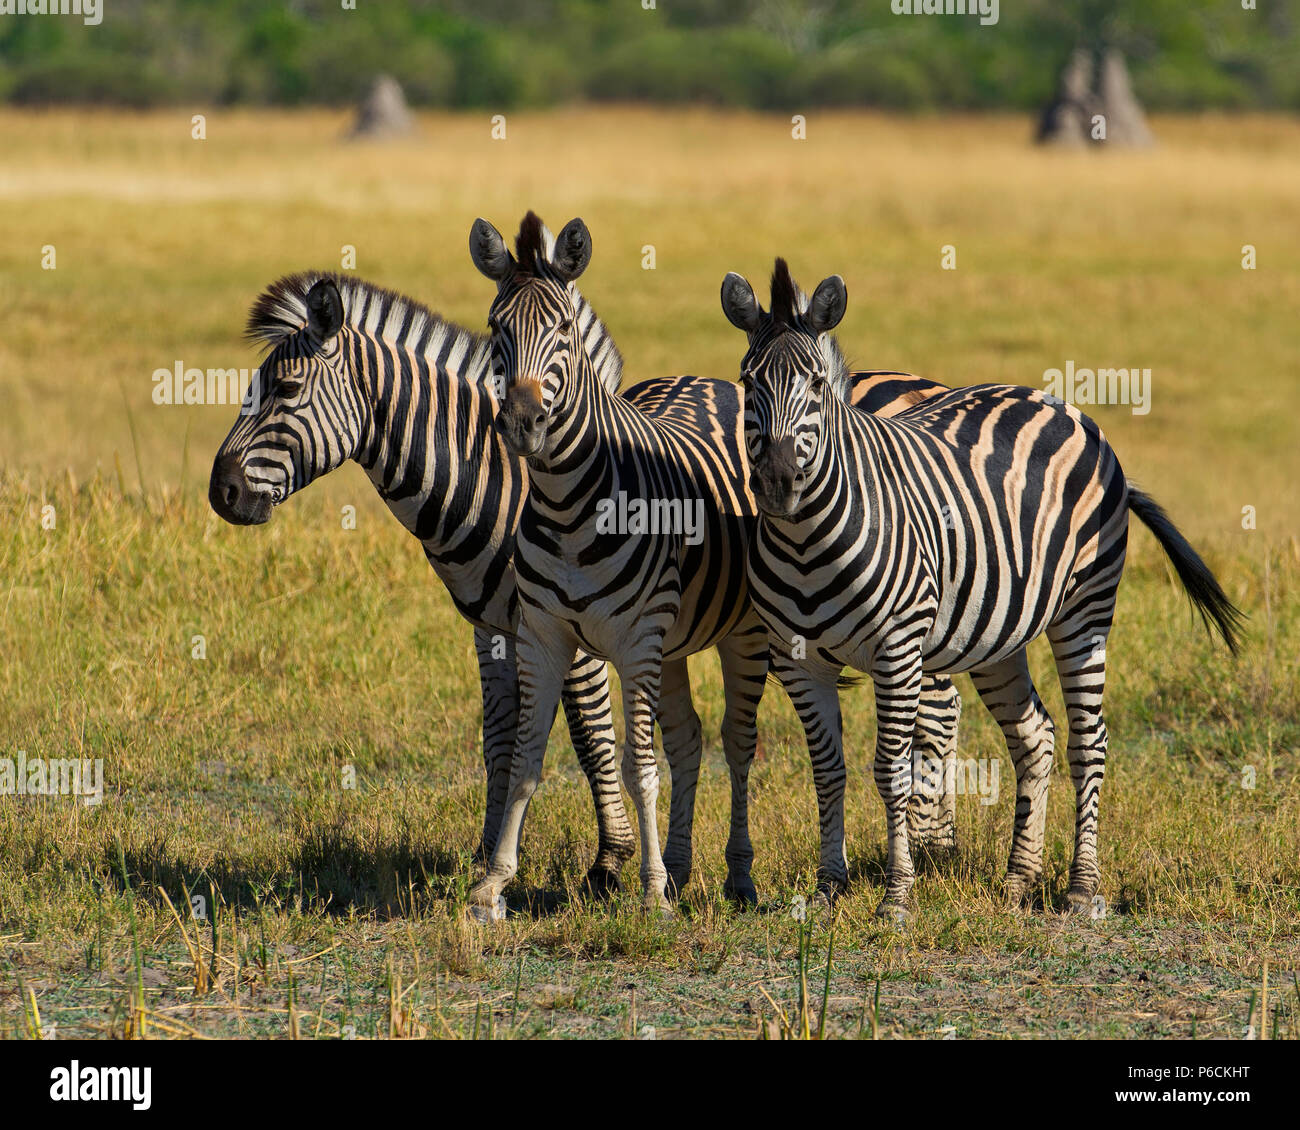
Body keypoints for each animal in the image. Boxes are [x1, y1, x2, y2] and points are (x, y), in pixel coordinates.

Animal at [208, 271, 644, 893]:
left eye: (287, 390)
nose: (220, 492)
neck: (500, 486)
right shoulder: (493, 628)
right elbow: (499, 738)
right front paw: (488, 857)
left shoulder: (571, 626)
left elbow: (591, 735)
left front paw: (609, 864)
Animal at [721, 258, 1243, 921]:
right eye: (747, 383)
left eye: (815, 385)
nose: (779, 482)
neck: (807, 541)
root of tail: (1057, 403)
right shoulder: (798, 661)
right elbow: (827, 768)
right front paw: (828, 888)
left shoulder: (897, 650)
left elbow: (890, 770)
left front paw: (897, 897)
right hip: (996, 630)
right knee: (1035, 736)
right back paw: (1019, 879)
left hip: (1086, 607)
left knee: (1089, 740)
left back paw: (1081, 887)